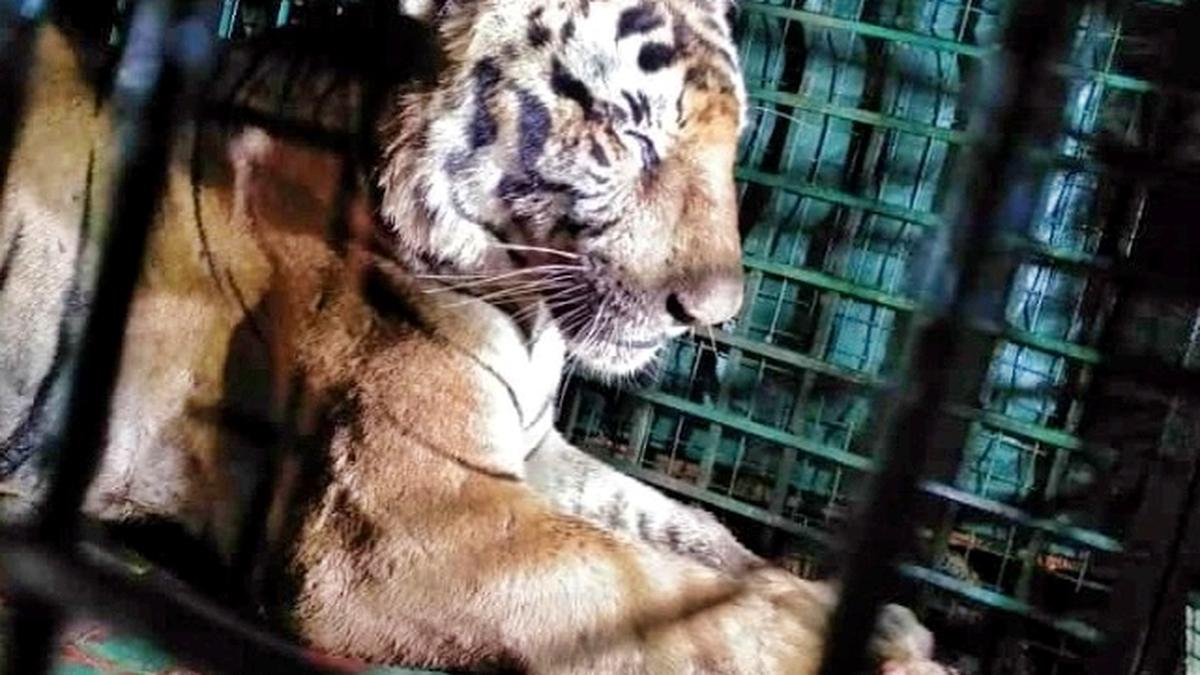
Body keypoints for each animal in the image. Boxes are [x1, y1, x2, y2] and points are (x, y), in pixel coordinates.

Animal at [0, 0, 955, 672]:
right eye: (630, 130)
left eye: (735, 138)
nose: (714, 311)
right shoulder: (408, 525)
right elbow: (646, 587)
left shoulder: (530, 447)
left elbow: (680, 524)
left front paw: (862, 615)